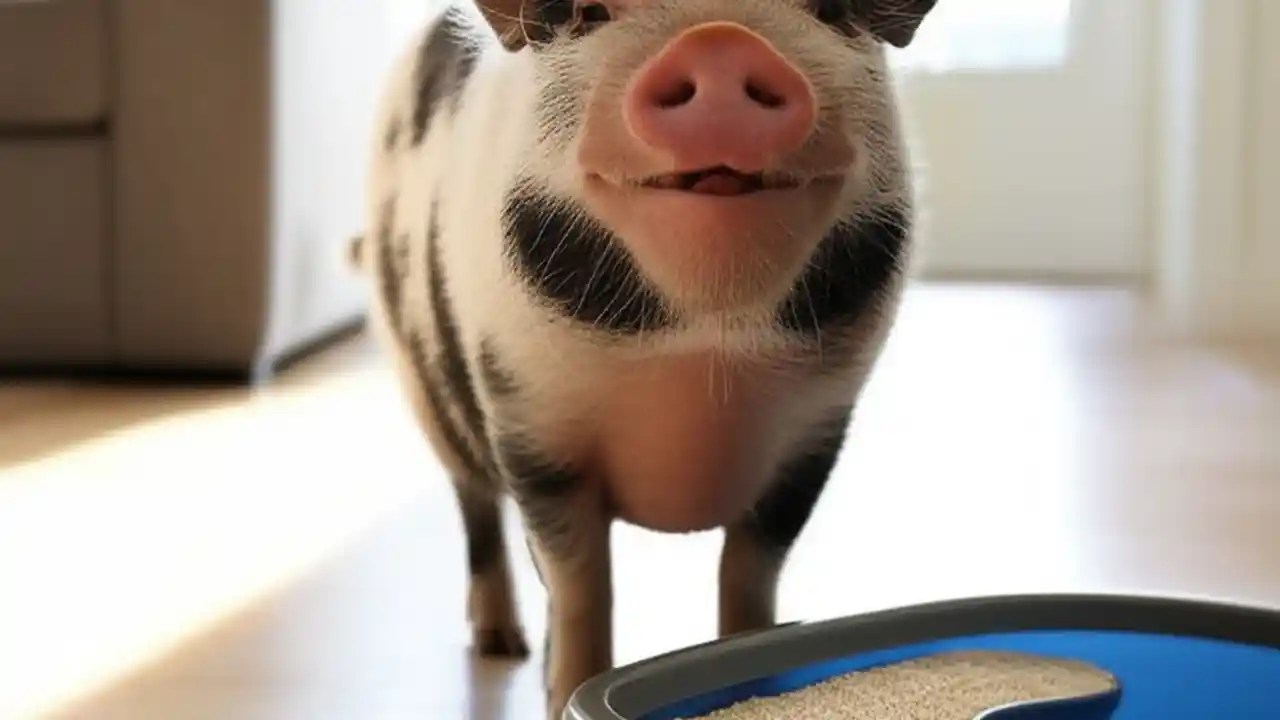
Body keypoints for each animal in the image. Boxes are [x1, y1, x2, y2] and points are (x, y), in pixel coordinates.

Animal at [349, 0, 936, 715]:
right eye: (587, 13)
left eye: (832, 12)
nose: (718, 39)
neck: (702, 364)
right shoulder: (531, 426)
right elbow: (580, 585)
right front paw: (567, 692)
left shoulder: (815, 435)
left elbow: (750, 571)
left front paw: (750, 664)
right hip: (432, 399)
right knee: (477, 512)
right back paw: (502, 647)